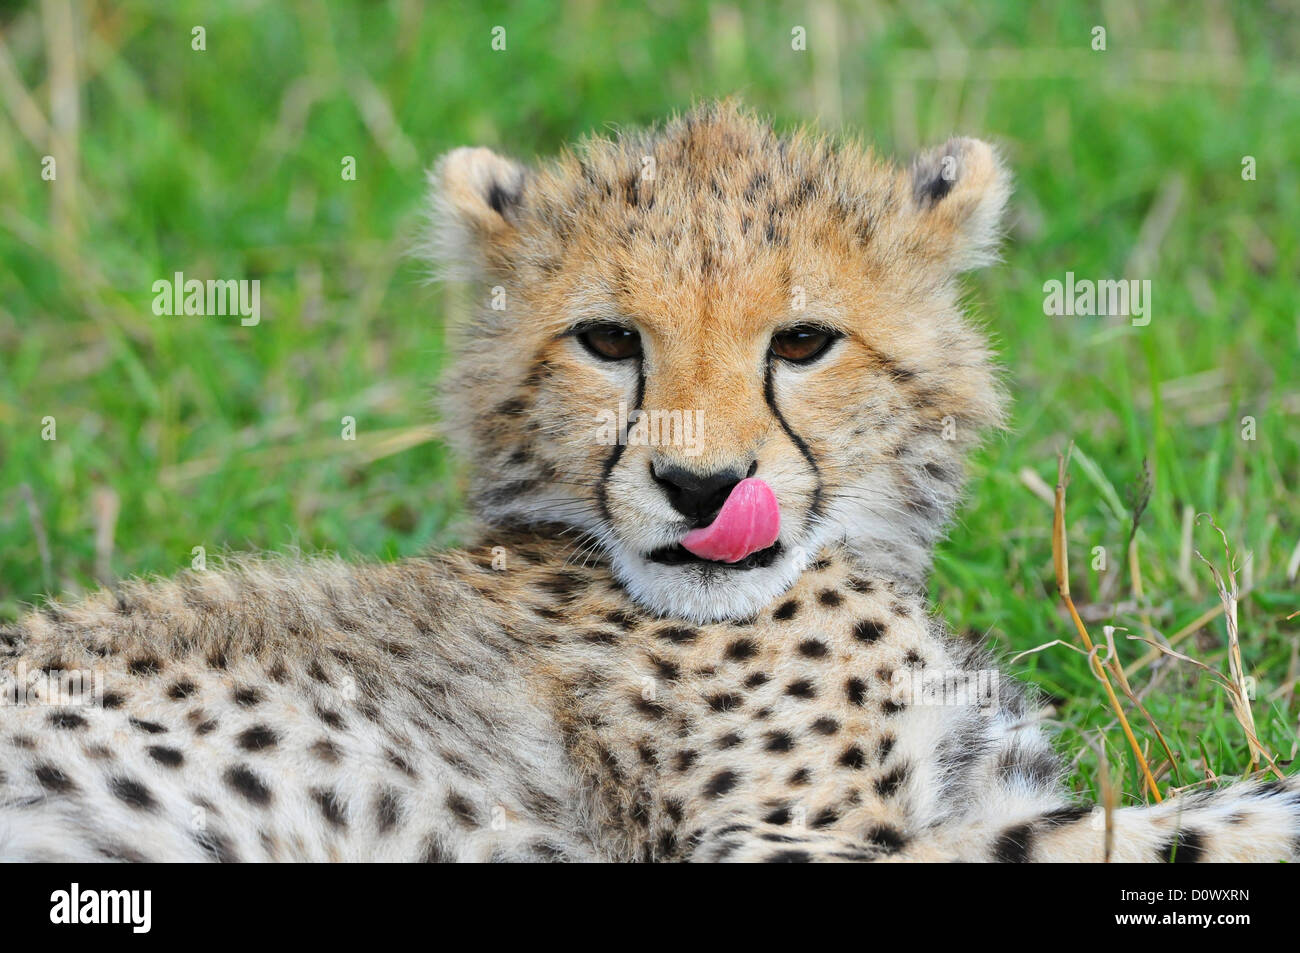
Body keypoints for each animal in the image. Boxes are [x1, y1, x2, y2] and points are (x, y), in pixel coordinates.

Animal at [2, 101, 1297, 862]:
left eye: (803, 341)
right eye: (608, 341)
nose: (700, 485)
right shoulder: (763, 845)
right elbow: (1109, 837)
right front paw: (1259, 815)